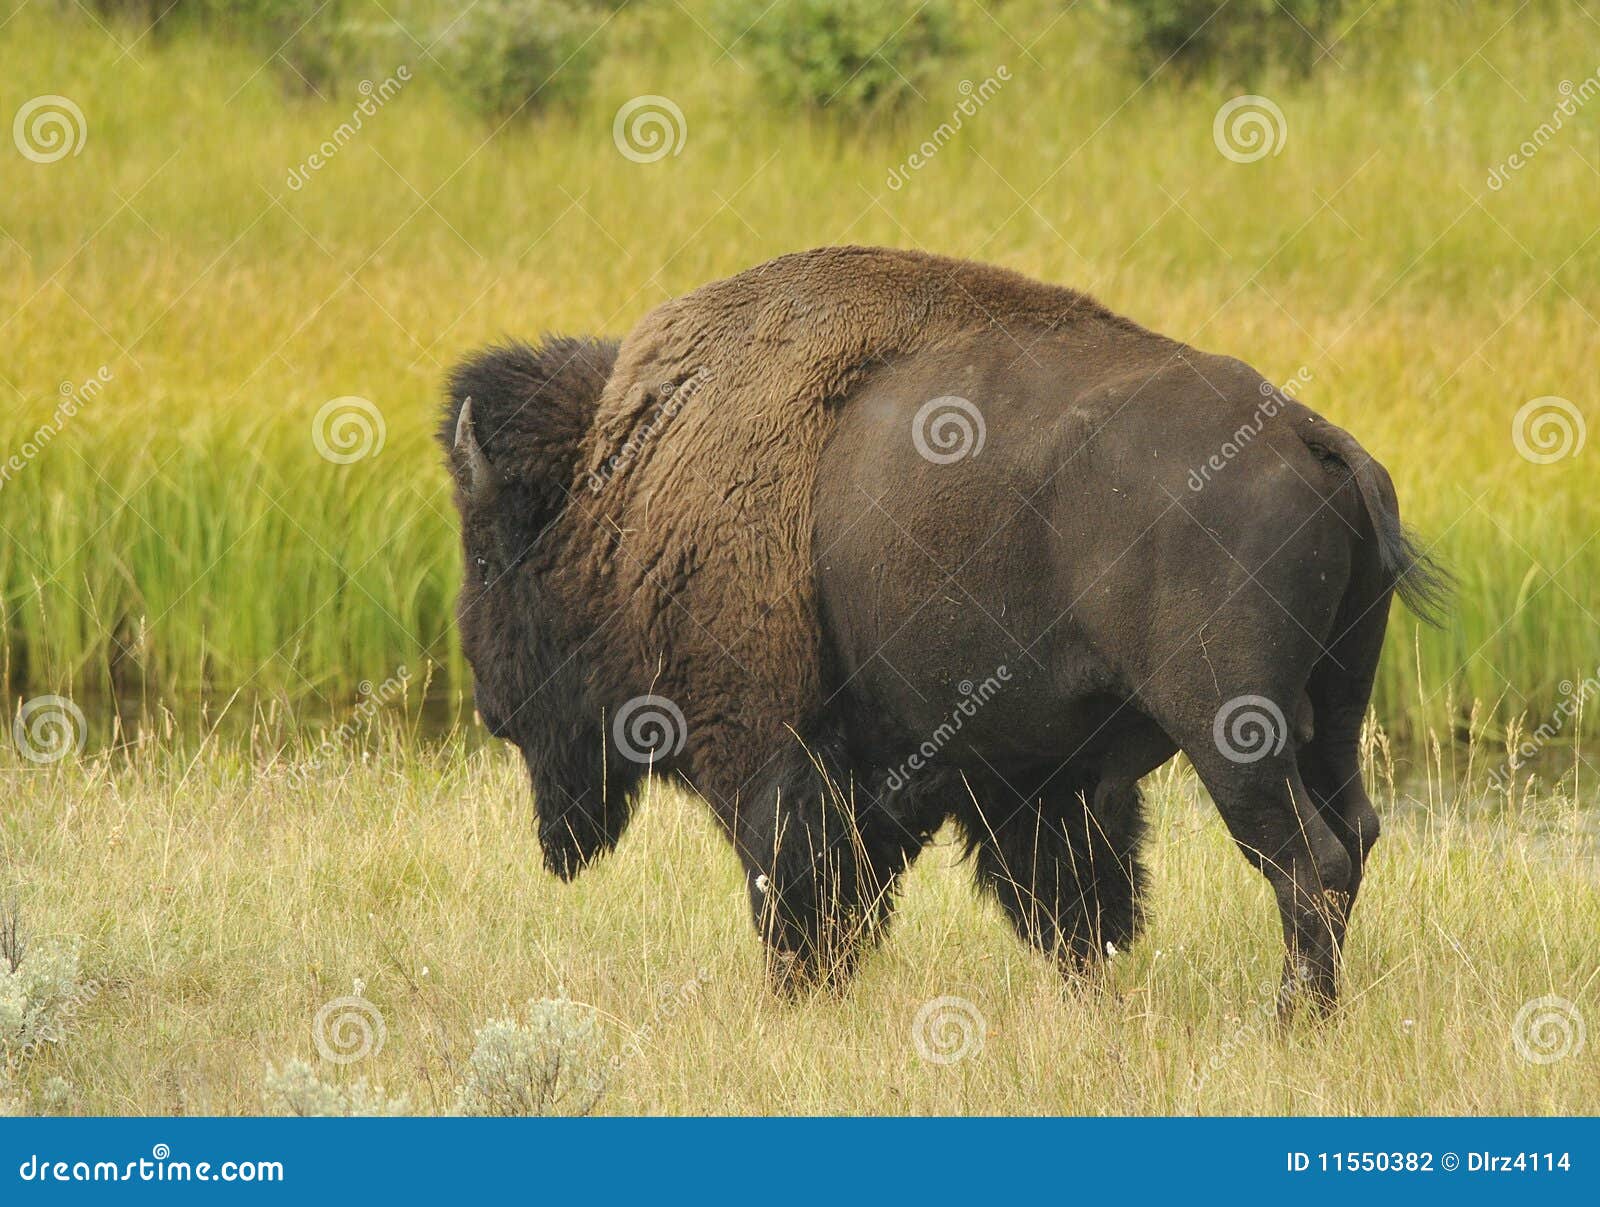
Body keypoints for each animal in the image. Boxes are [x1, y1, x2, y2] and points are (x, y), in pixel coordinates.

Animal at [440, 246, 1446, 1017]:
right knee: (1353, 834)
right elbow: (1066, 904)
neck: (624, 492)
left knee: (1306, 860)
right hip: (1333, 710)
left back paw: (1290, 1022)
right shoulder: (1022, 778)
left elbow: (798, 890)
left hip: (1232, 731)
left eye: (489, 554)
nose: (490, 704)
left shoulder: (776, 754)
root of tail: (1310, 436)